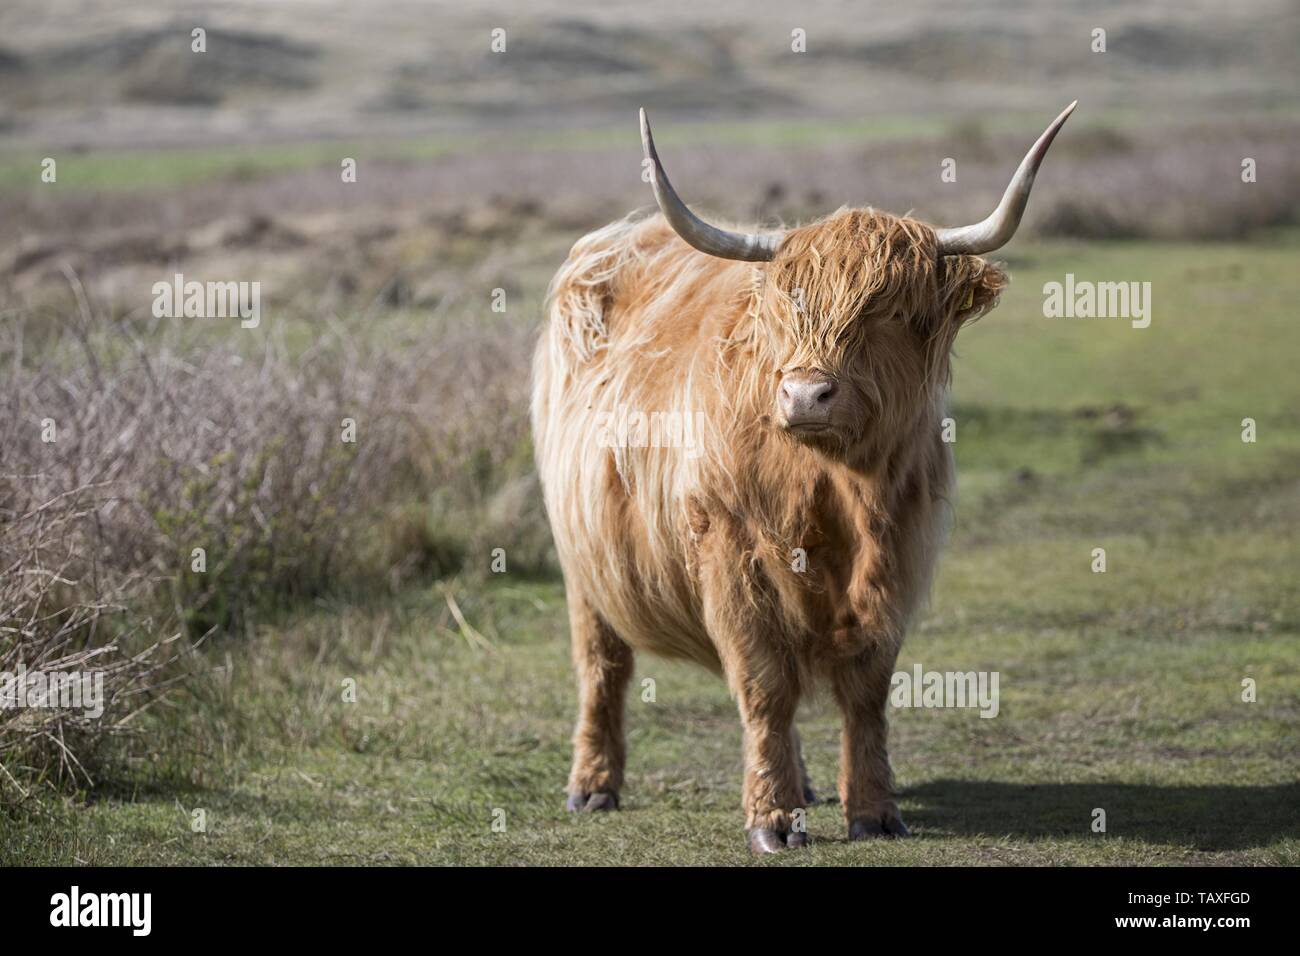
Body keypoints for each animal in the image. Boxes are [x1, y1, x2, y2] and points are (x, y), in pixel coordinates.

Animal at [531, 103, 1076, 853]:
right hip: (586, 561)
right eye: (788, 311)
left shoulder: (897, 560)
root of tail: (613, 240)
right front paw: (771, 819)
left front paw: (873, 810)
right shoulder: (730, 557)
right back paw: (592, 786)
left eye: (890, 312)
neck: (837, 492)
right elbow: (764, 688)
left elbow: (866, 694)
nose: (804, 395)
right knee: (602, 667)